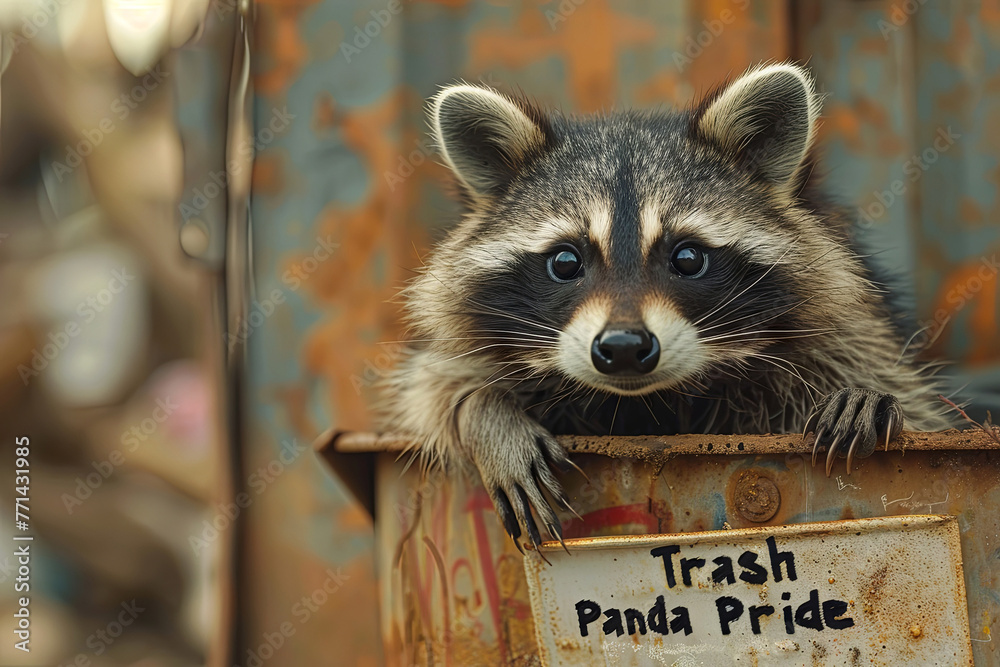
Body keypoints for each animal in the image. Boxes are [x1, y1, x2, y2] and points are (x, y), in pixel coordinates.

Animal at [380, 63, 952, 549]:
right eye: (565, 261)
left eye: (688, 257)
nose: (623, 347)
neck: (646, 403)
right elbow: (436, 388)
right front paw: (486, 414)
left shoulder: (847, 329)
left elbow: (884, 381)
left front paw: (861, 395)